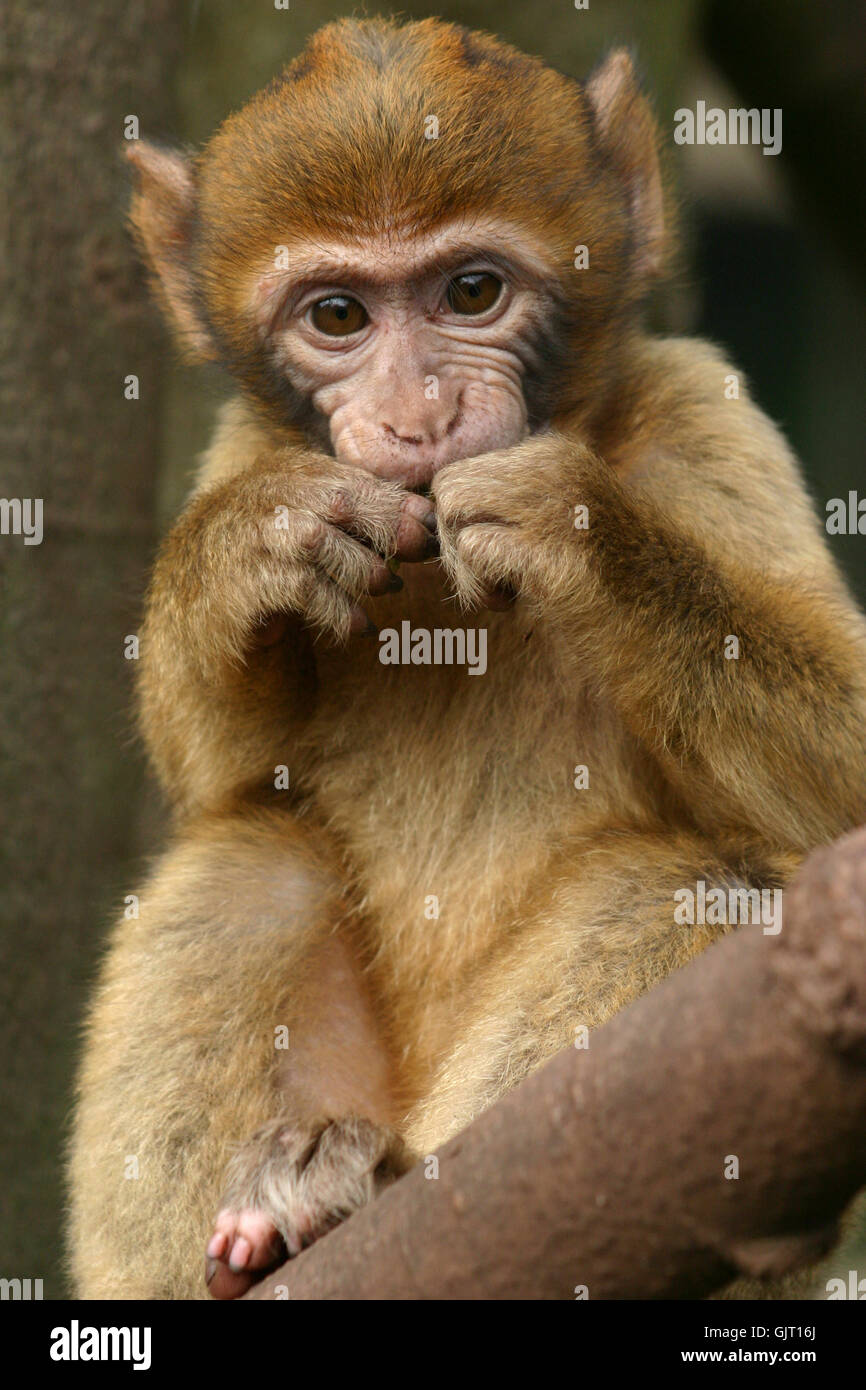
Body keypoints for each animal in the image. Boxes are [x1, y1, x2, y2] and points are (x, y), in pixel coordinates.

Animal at [68, 17, 866, 1301]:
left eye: (473, 292)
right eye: (337, 317)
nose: (419, 414)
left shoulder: (705, 413)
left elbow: (845, 783)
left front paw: (576, 535)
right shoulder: (247, 443)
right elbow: (219, 775)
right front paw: (249, 549)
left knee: (704, 879)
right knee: (249, 860)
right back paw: (269, 1234)